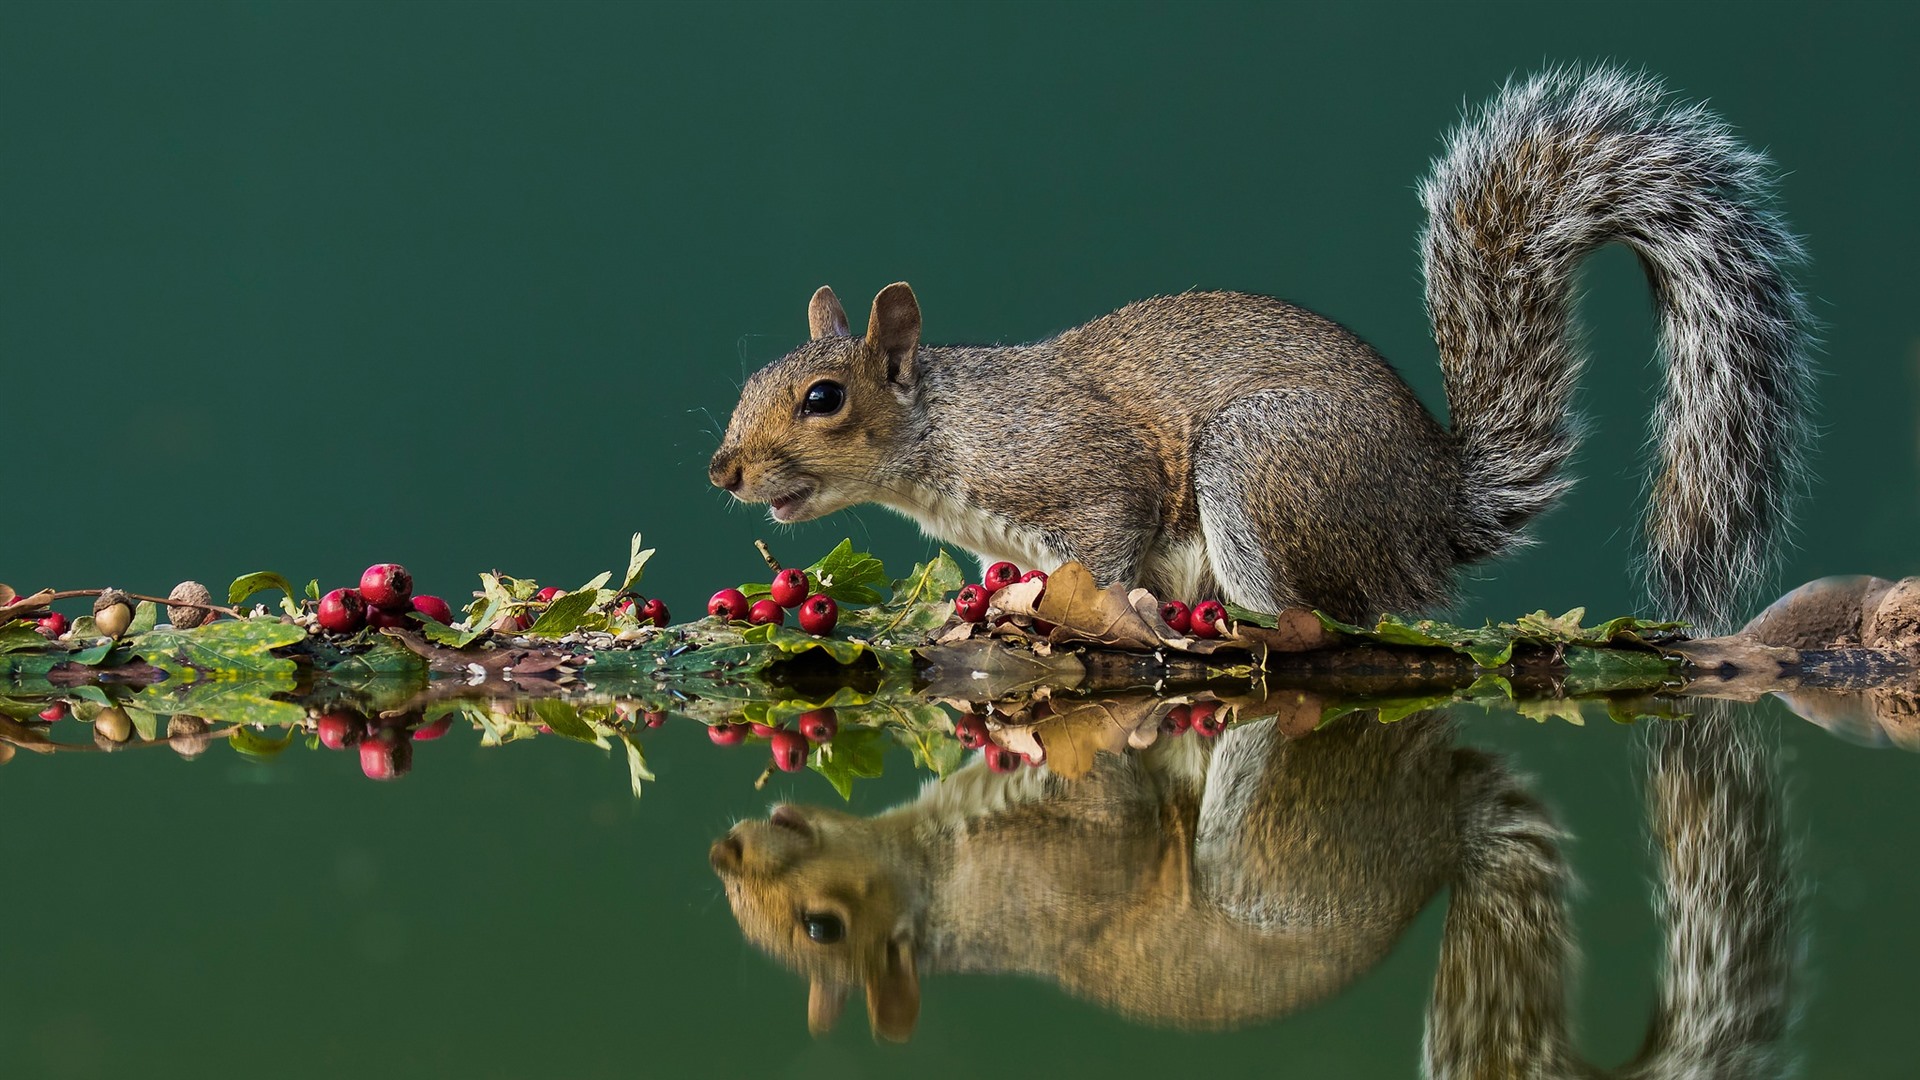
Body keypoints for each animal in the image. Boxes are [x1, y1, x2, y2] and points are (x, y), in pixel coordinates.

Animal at [710, 67, 1812, 633]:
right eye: (753, 380)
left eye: (822, 399)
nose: (723, 470)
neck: (945, 433)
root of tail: (1432, 514)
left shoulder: (1075, 471)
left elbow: (1108, 535)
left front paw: (1070, 602)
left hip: (1262, 458)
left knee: (1301, 615)